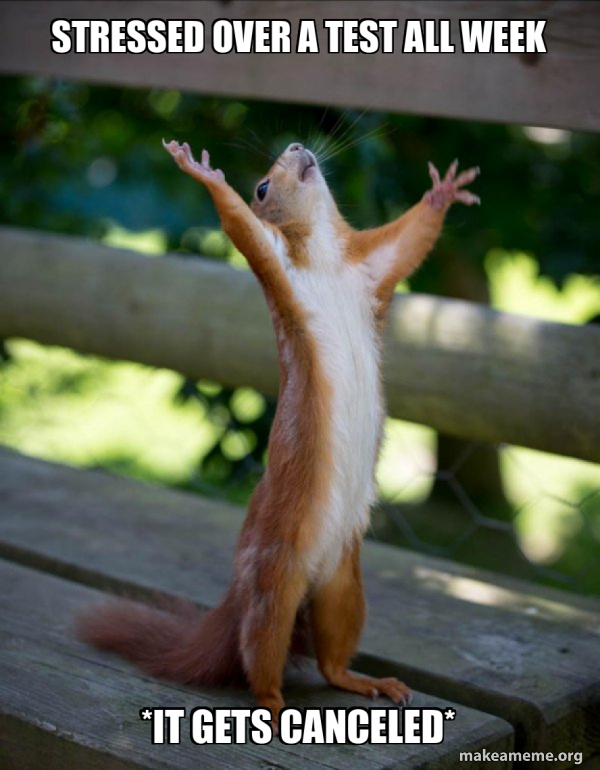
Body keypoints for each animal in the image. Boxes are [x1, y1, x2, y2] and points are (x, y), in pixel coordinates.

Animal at [78, 138, 479, 729]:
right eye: (262, 187)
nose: (296, 146)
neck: (326, 257)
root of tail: (239, 595)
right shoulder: (277, 265)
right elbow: (240, 226)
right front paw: (204, 173)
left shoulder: (371, 267)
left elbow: (409, 240)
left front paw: (443, 192)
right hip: (274, 584)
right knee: (258, 655)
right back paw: (272, 703)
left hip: (344, 587)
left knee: (331, 659)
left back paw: (366, 680)